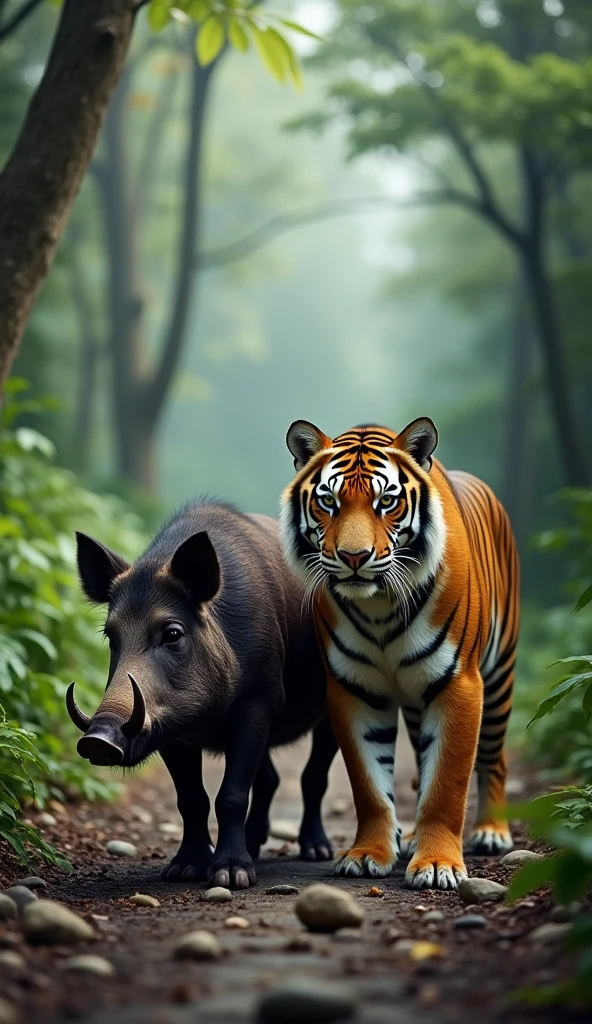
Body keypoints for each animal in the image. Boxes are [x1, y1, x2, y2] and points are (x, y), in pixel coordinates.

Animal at [66, 500, 338, 888]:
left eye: (173, 633)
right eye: (110, 636)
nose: (98, 739)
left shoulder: (258, 699)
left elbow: (232, 795)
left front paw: (232, 876)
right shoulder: (170, 730)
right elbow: (191, 799)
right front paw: (183, 871)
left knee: (312, 777)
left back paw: (317, 851)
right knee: (269, 780)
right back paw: (255, 848)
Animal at [280, 417, 519, 891]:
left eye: (386, 501)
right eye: (329, 502)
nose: (354, 557)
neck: (380, 607)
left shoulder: (459, 684)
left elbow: (447, 784)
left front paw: (438, 864)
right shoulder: (354, 691)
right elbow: (370, 784)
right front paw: (368, 853)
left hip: (499, 676)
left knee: (494, 758)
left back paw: (490, 832)